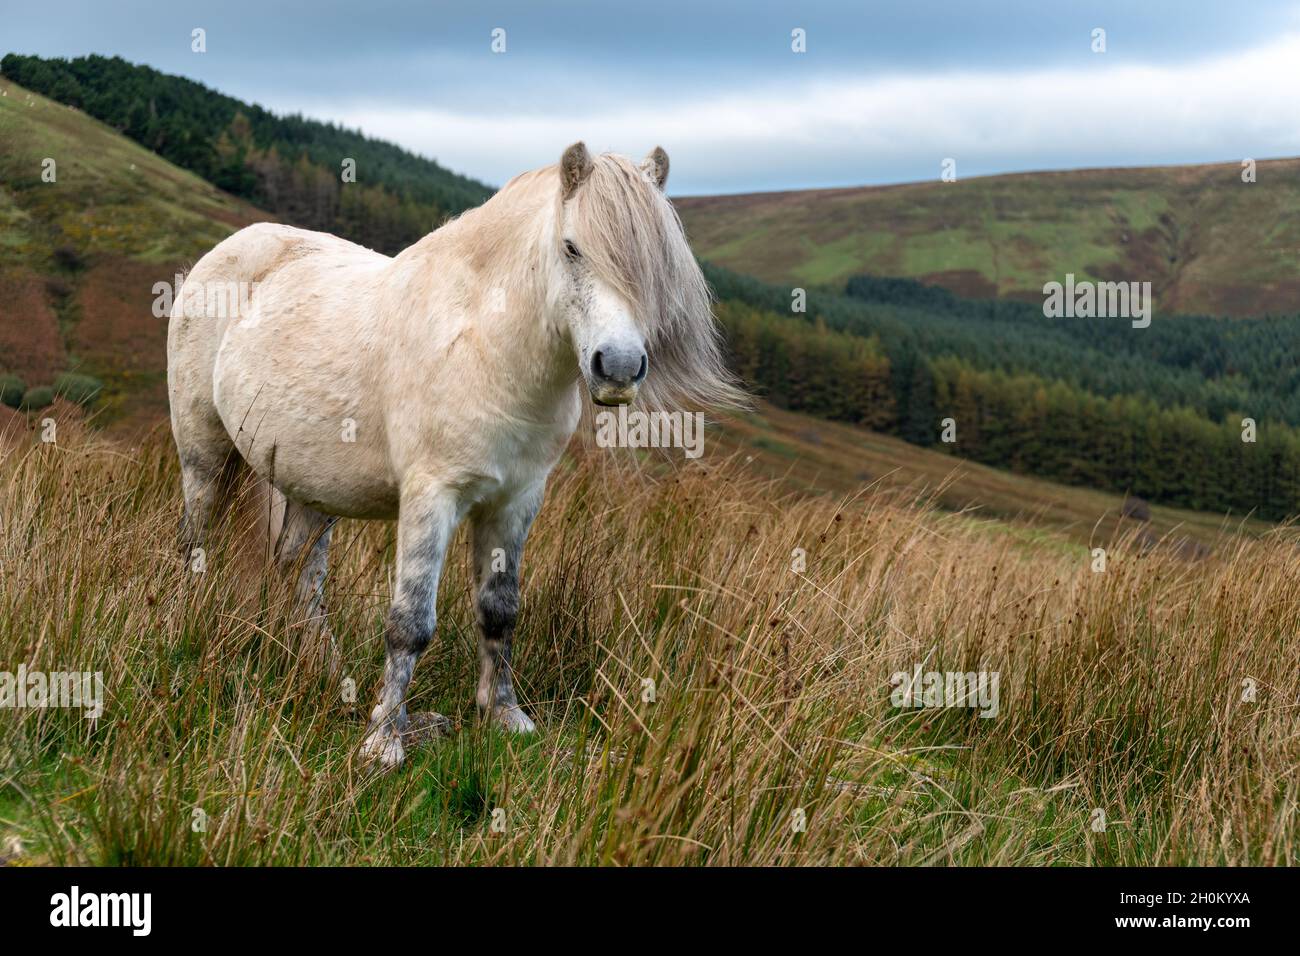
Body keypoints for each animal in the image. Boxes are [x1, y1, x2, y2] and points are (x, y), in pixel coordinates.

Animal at [166, 142, 745, 769]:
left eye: (658, 265)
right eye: (572, 247)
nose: (617, 368)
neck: (483, 345)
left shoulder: (514, 502)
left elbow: (500, 610)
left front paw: (506, 718)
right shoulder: (432, 497)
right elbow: (410, 623)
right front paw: (383, 742)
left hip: (310, 490)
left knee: (301, 575)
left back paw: (324, 670)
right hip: (203, 456)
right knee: (196, 544)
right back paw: (188, 628)